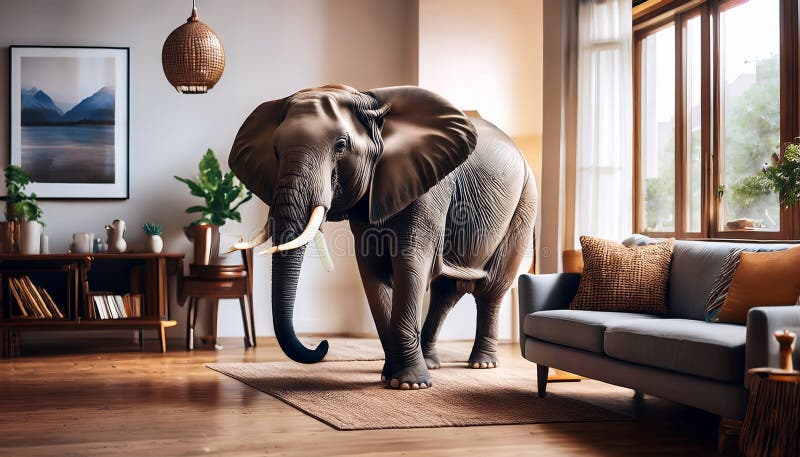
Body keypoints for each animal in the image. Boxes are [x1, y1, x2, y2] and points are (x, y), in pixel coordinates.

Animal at [228, 84, 537, 390]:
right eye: (275, 150)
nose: (322, 345)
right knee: (447, 292)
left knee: (491, 289)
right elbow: (372, 269)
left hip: (525, 202)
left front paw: (410, 385)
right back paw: (433, 362)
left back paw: (482, 364)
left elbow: (410, 263)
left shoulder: (429, 187)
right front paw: (392, 377)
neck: (370, 102)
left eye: (341, 146)